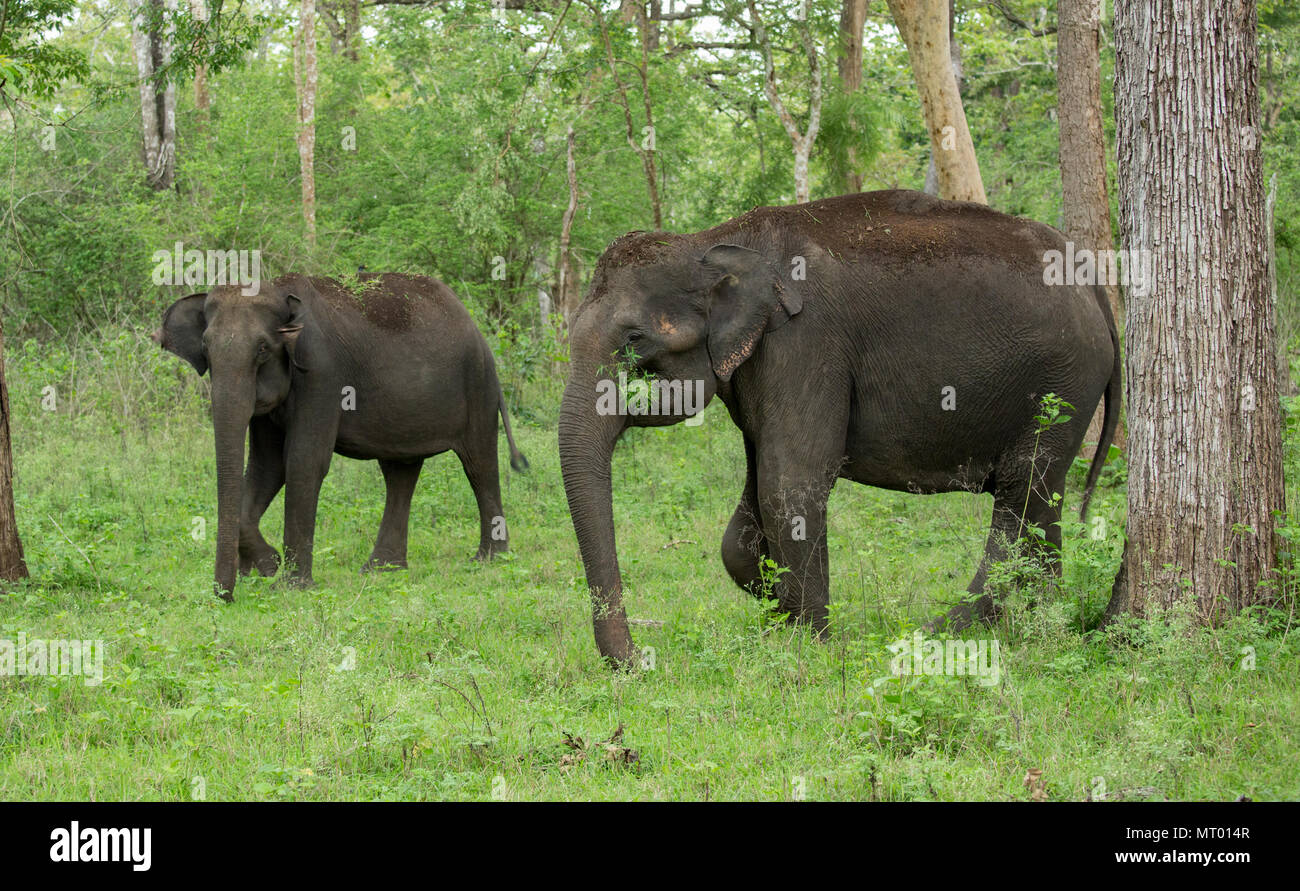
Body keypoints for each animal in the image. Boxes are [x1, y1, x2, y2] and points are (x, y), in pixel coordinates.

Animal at [156, 272, 528, 601]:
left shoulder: (321, 372)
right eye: (205, 349)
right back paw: (382, 569)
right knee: (400, 472)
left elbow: (303, 462)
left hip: (478, 385)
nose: (224, 596)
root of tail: (471, 321)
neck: (277, 288)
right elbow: (266, 468)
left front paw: (287, 583)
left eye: (262, 349)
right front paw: (265, 567)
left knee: (478, 464)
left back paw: (489, 559)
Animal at [558, 190, 1120, 667]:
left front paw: (809, 647)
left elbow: (789, 482)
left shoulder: (805, 343)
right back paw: (1039, 625)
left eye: (634, 341)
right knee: (1043, 502)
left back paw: (935, 634)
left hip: (1062, 382)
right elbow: (751, 508)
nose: (640, 660)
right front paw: (777, 610)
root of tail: (1094, 284)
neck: (710, 241)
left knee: (1020, 497)